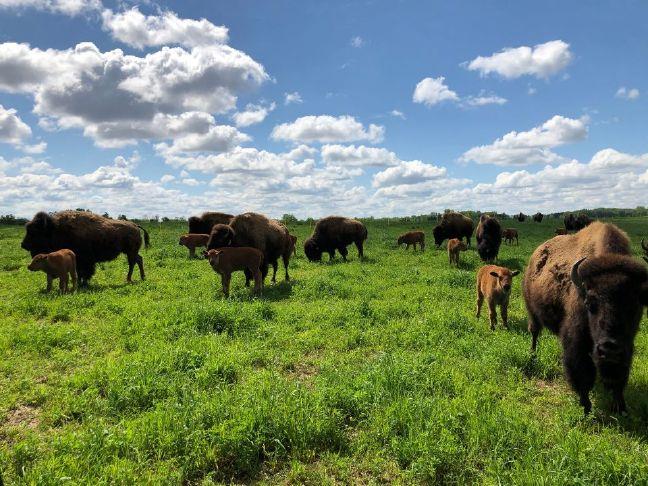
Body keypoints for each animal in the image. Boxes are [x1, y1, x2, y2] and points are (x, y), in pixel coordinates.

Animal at [21, 211, 149, 286]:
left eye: (34, 232)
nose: (23, 245)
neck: (55, 229)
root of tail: (135, 226)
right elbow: (80, 272)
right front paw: (81, 283)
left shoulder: (84, 260)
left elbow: (83, 272)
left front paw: (83, 283)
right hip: (130, 252)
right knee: (139, 260)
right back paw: (141, 278)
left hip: (130, 252)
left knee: (133, 262)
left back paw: (129, 279)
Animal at [523, 222, 648, 414]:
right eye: (589, 303)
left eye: (636, 305)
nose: (609, 349)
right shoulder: (576, 340)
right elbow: (581, 372)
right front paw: (586, 407)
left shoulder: (626, 346)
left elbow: (619, 376)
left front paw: (620, 407)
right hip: (532, 312)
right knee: (534, 332)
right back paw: (533, 355)